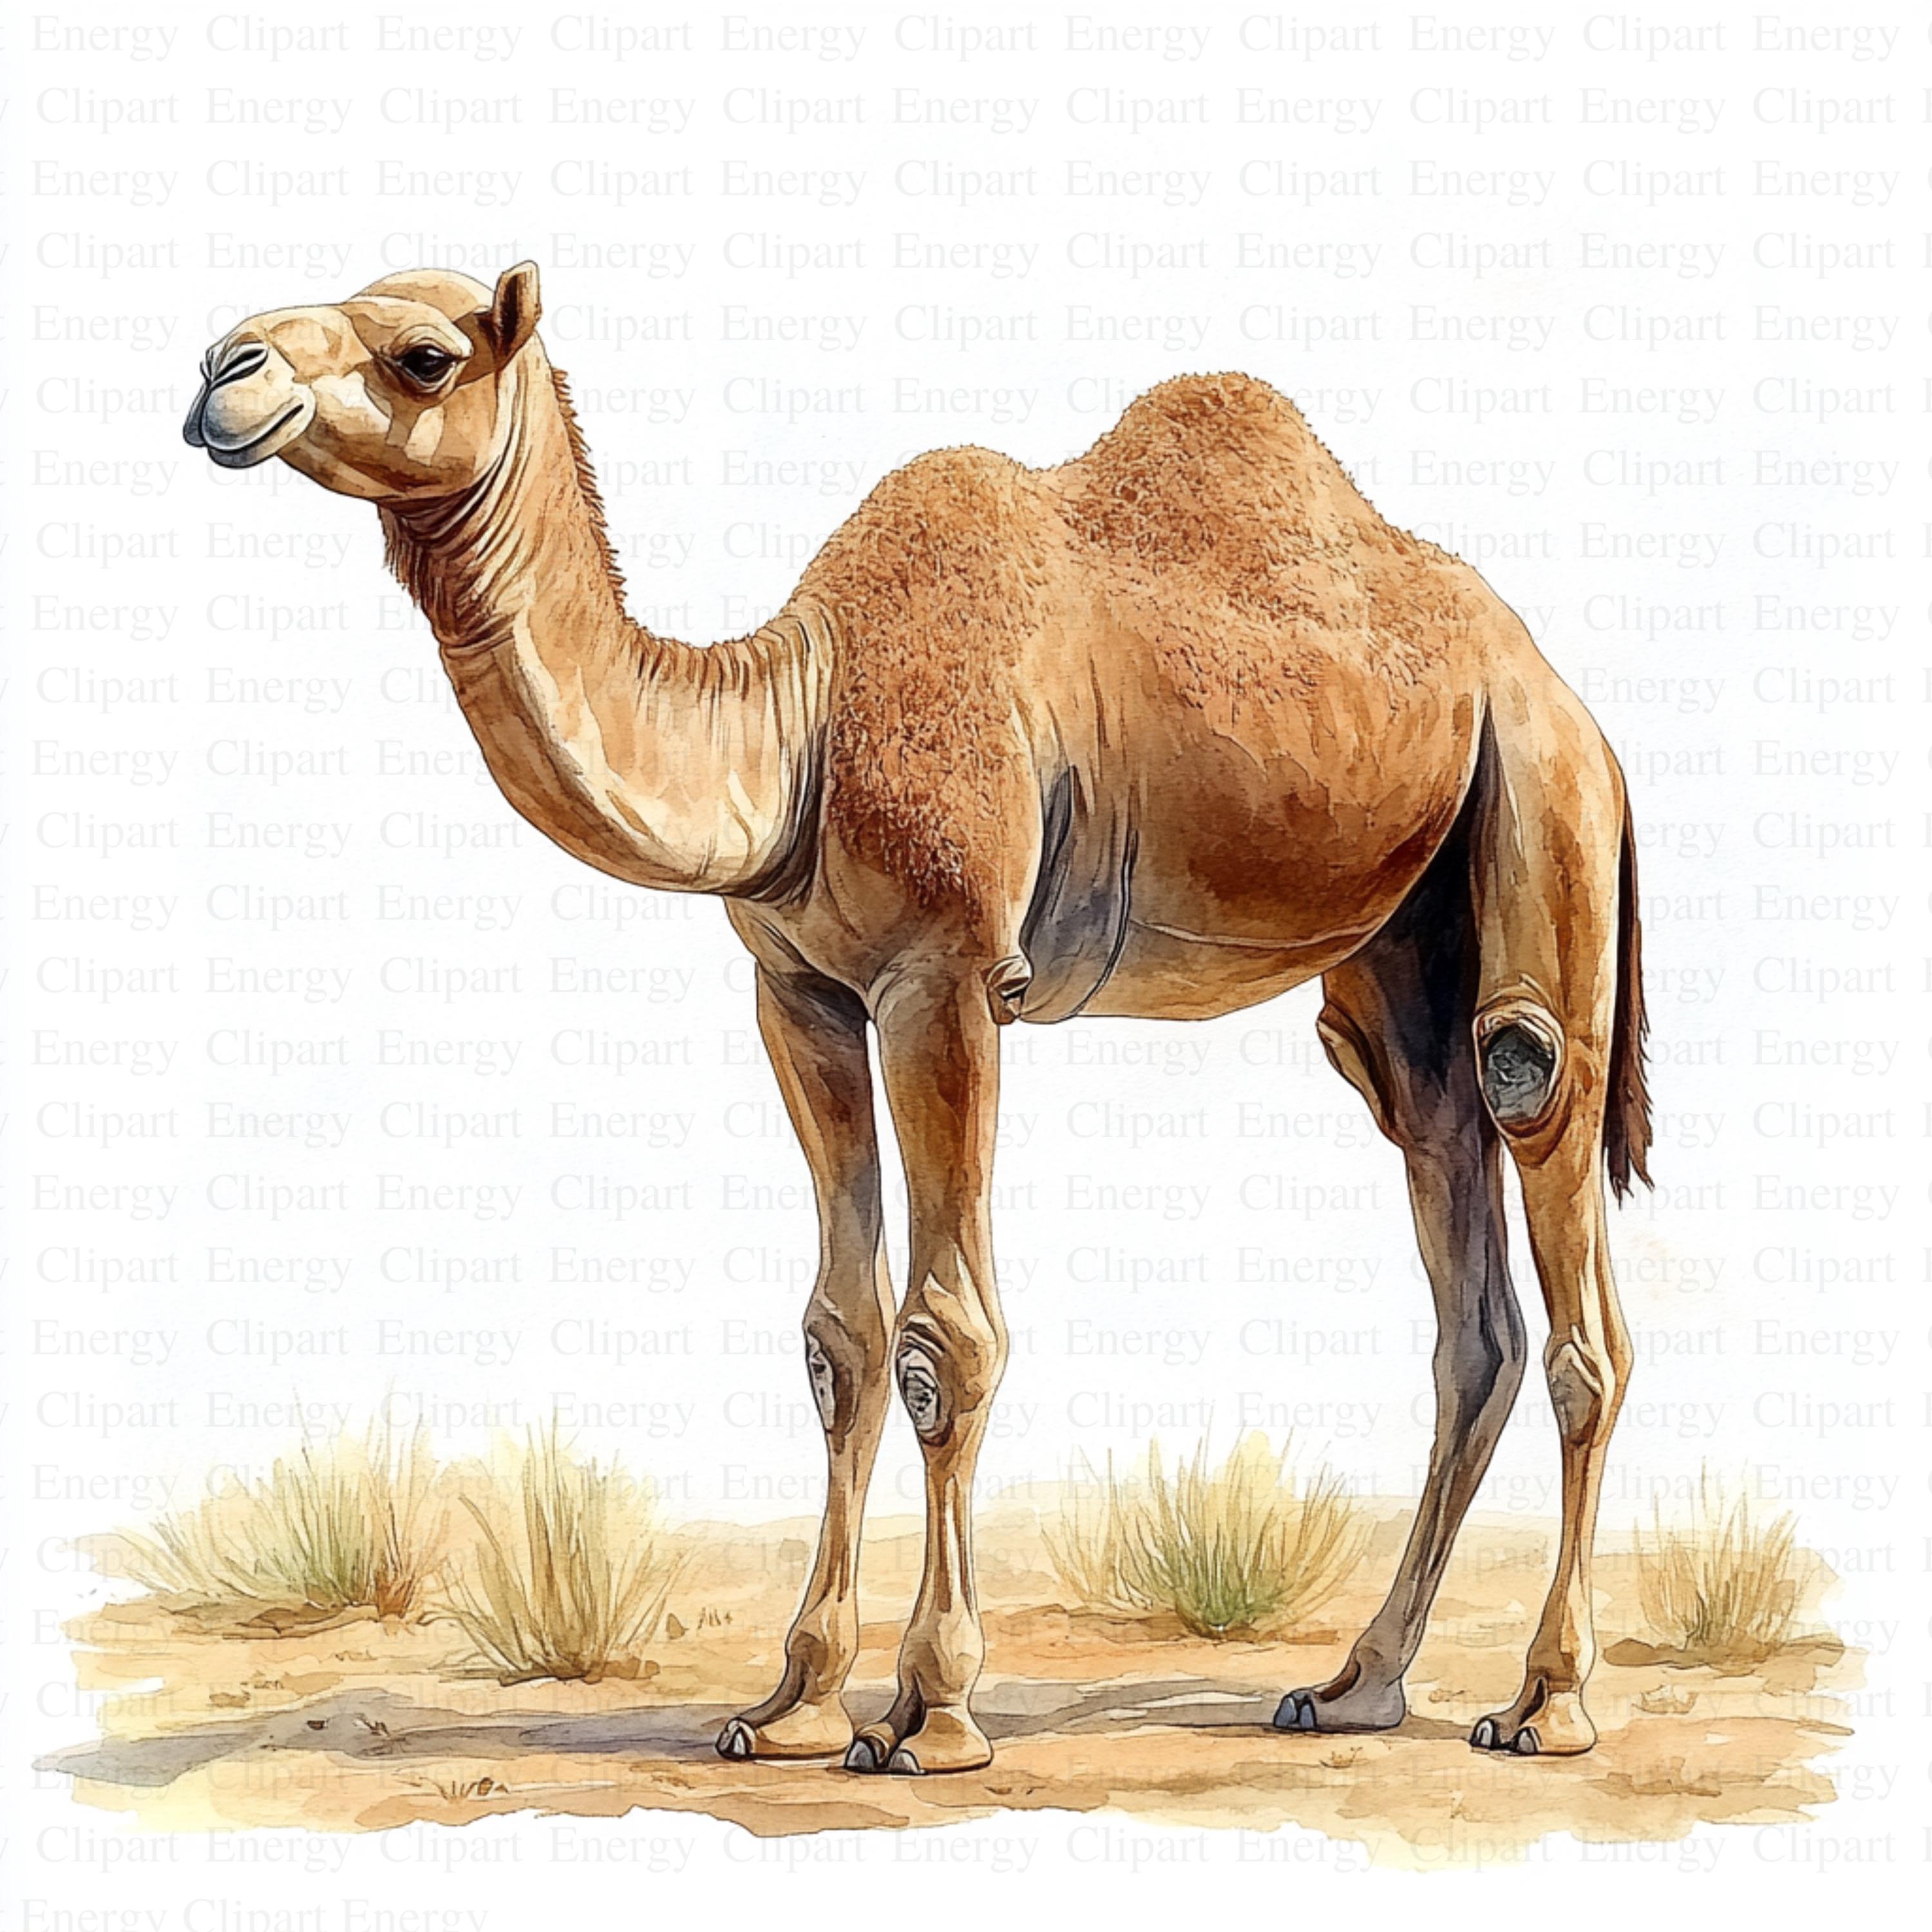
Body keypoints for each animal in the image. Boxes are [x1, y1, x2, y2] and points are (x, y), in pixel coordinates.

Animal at [184, 264, 1651, 1774]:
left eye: (422, 355)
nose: (224, 373)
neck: (799, 727)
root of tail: (1561, 688)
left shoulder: (945, 983)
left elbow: (949, 1338)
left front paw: (931, 1713)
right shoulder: (803, 997)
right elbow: (840, 1339)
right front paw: (789, 1706)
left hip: (1542, 806)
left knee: (1542, 1130)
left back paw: (1548, 1703)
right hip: (1396, 949)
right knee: (1455, 1250)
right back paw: (1356, 1684)